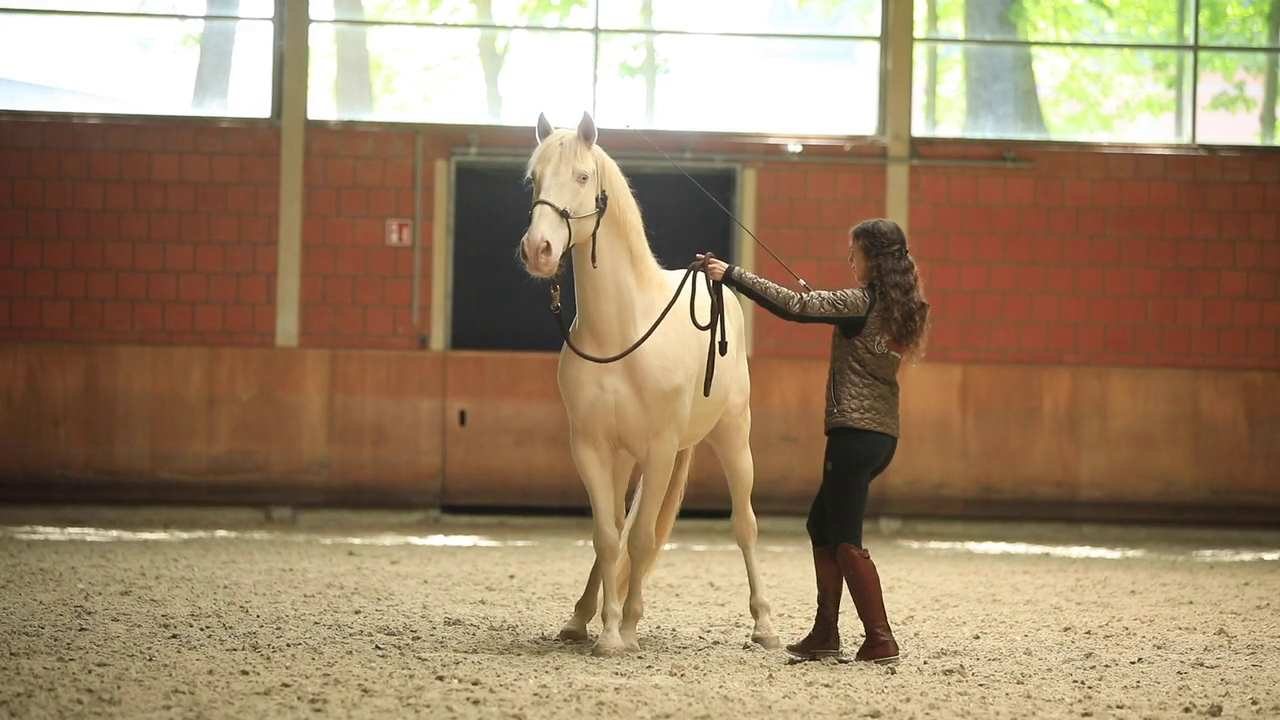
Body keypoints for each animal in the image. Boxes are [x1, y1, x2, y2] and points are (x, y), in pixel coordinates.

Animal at [517, 110, 779, 657]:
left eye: (582, 177)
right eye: (534, 180)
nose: (539, 250)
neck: (621, 333)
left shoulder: (659, 448)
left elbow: (639, 539)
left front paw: (630, 627)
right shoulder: (592, 448)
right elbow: (607, 536)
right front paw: (607, 630)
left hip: (732, 437)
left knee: (744, 525)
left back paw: (765, 625)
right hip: (623, 458)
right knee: (617, 528)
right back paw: (581, 618)